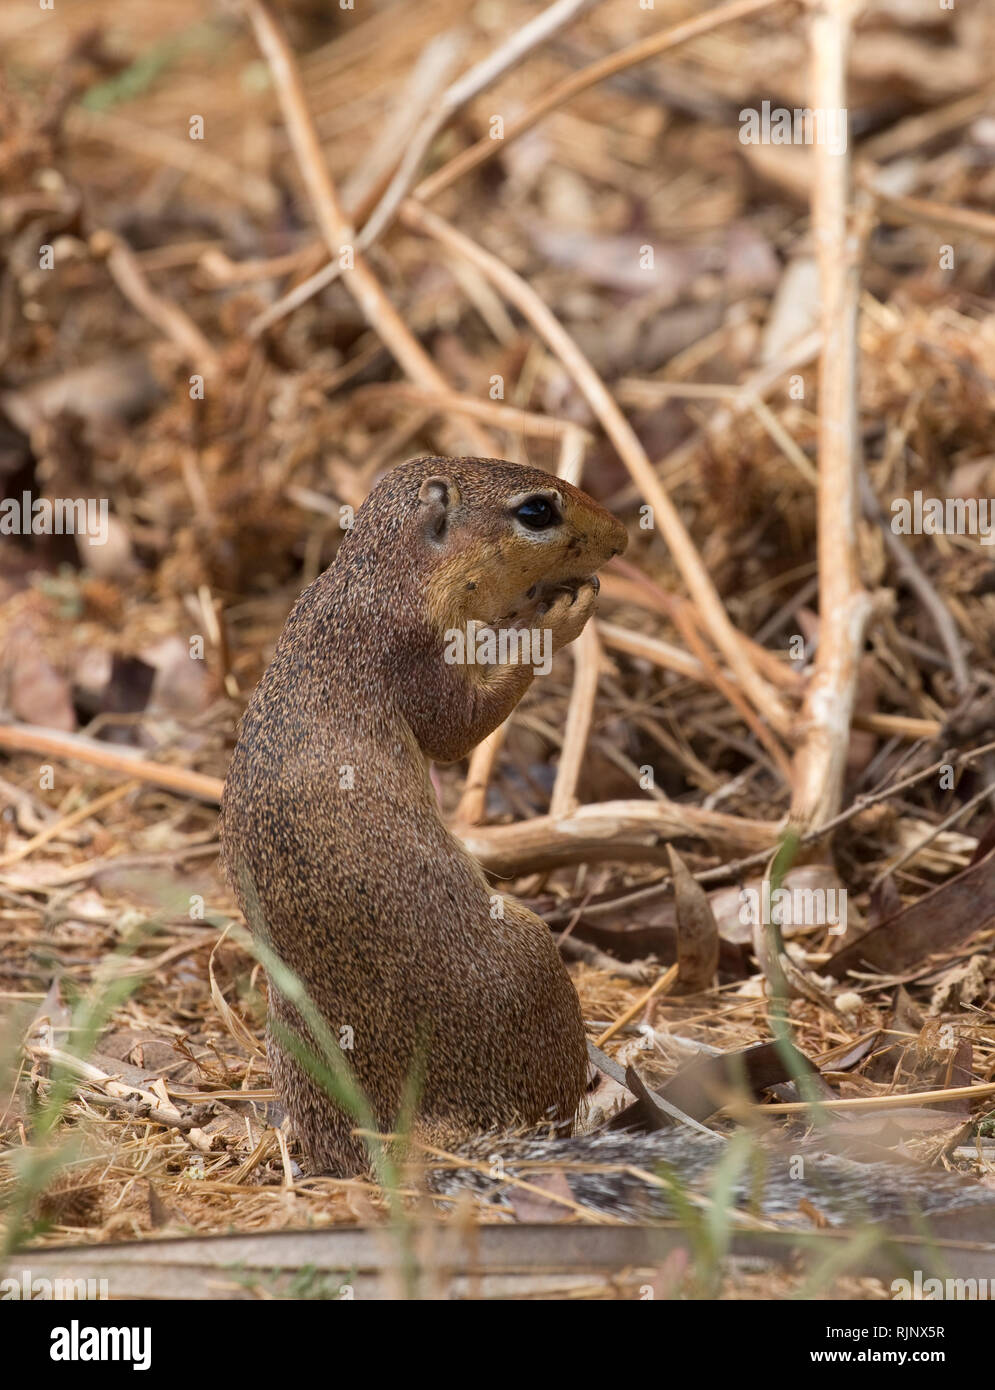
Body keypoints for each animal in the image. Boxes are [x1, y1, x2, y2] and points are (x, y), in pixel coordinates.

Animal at [221, 454, 995, 1231]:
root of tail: (420, 1139)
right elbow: (460, 726)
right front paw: (558, 617)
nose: (619, 539)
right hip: (533, 960)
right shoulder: (415, 659)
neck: (375, 577)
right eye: (536, 511)